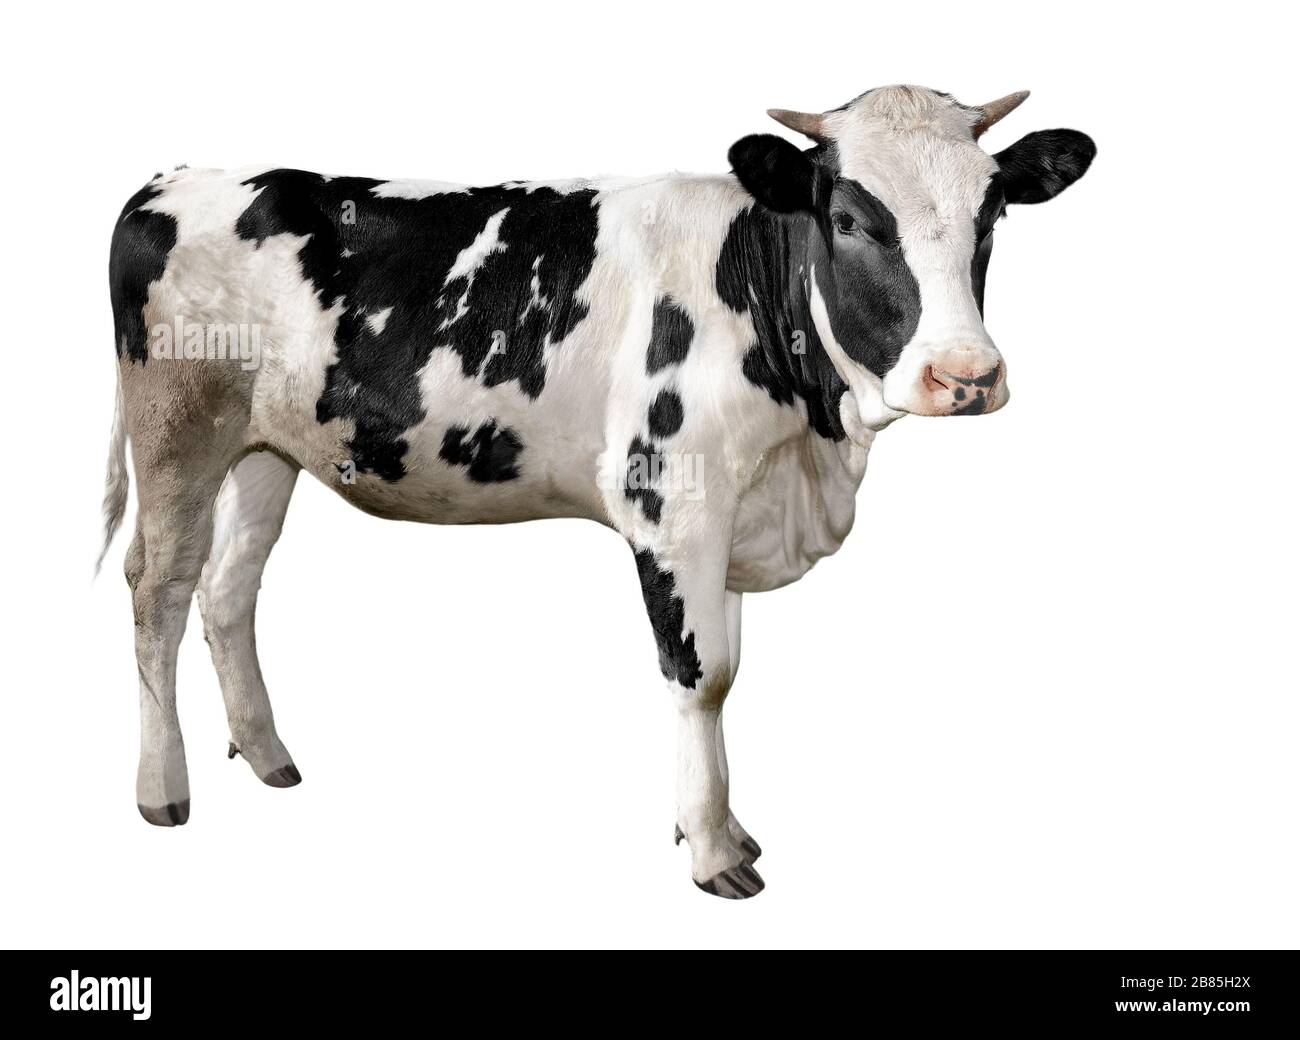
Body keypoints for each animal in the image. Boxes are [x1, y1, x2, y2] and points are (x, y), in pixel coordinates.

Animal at [100, 85, 1094, 898]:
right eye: (849, 219)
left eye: (993, 214)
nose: (965, 376)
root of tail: (174, 177)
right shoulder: (673, 507)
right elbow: (703, 676)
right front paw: (713, 852)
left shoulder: (732, 515)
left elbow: (730, 667)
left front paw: (716, 824)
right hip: (177, 428)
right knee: (158, 589)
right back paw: (162, 789)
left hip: (265, 448)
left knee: (229, 590)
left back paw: (268, 755)